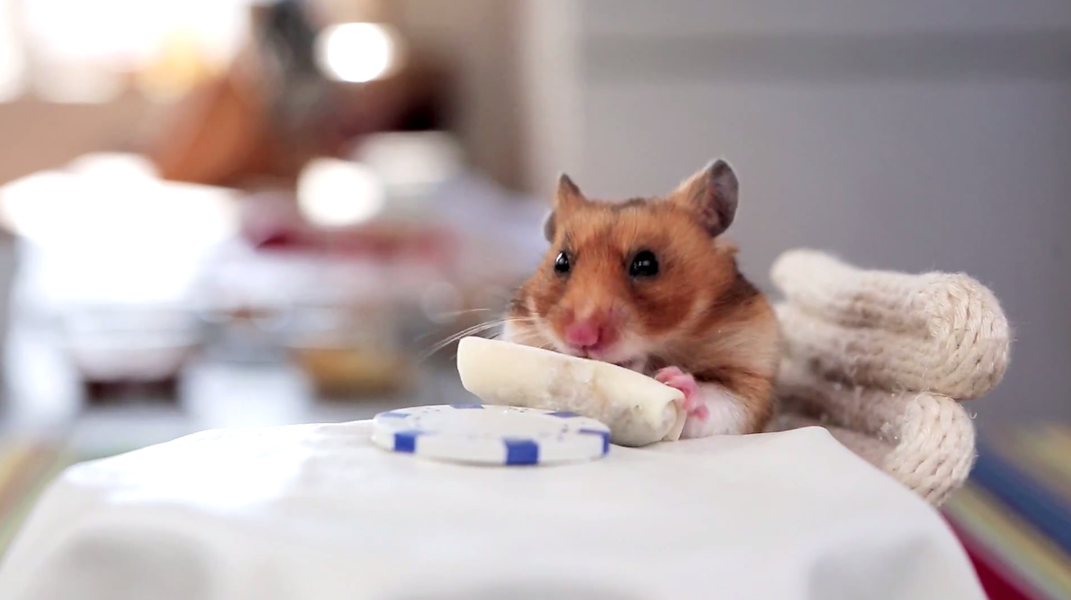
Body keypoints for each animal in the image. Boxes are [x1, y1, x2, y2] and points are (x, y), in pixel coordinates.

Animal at [502, 159, 782, 437]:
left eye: (646, 264)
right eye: (561, 262)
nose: (581, 336)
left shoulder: (750, 377)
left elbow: (721, 406)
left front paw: (674, 381)